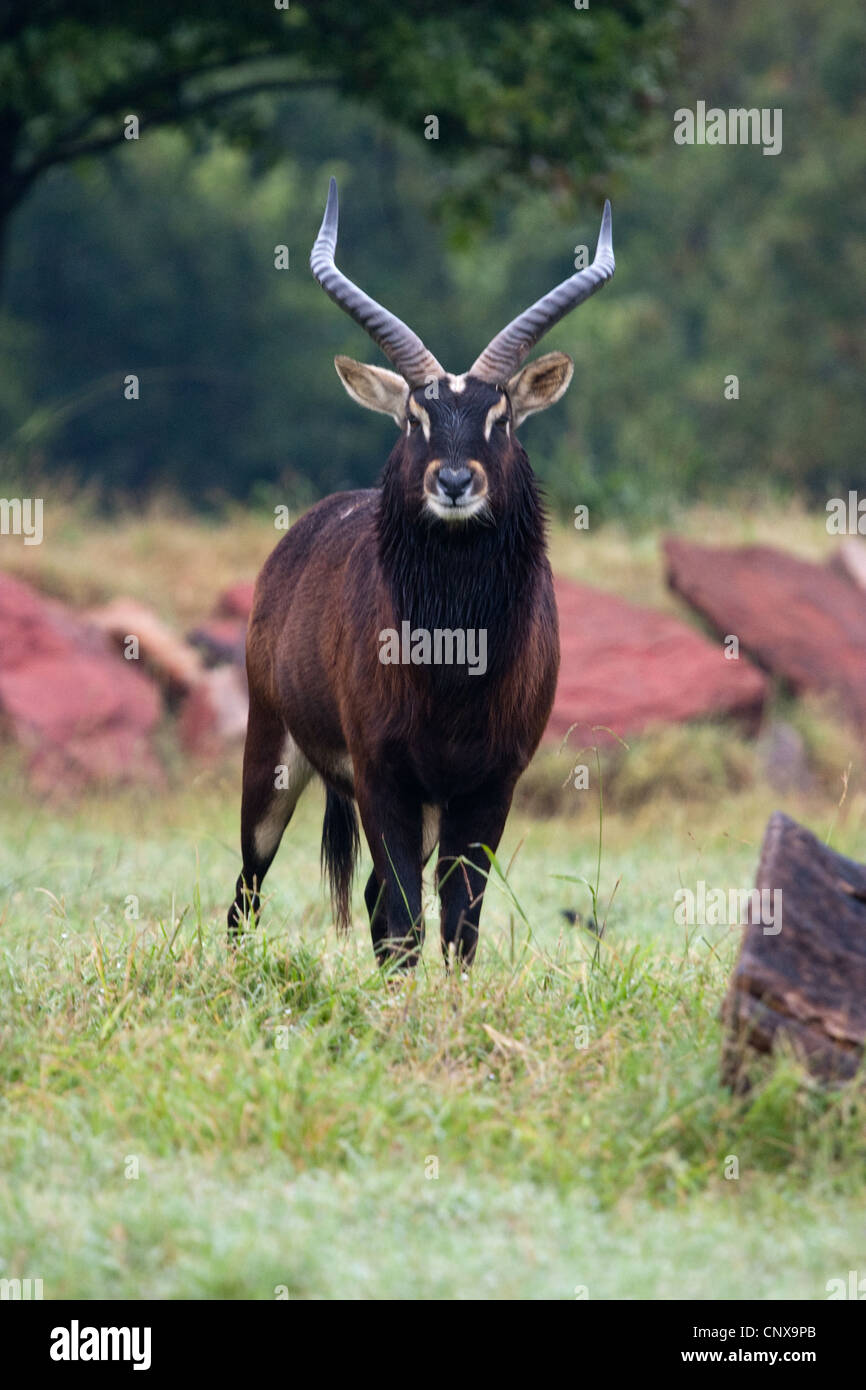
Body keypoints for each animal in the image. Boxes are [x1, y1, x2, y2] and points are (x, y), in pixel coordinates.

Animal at [228, 178, 614, 967]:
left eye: (501, 416)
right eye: (414, 416)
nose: (456, 481)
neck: (452, 661)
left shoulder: (490, 783)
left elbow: (459, 919)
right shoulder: (383, 774)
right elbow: (407, 914)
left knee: (373, 897)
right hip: (272, 757)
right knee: (248, 889)